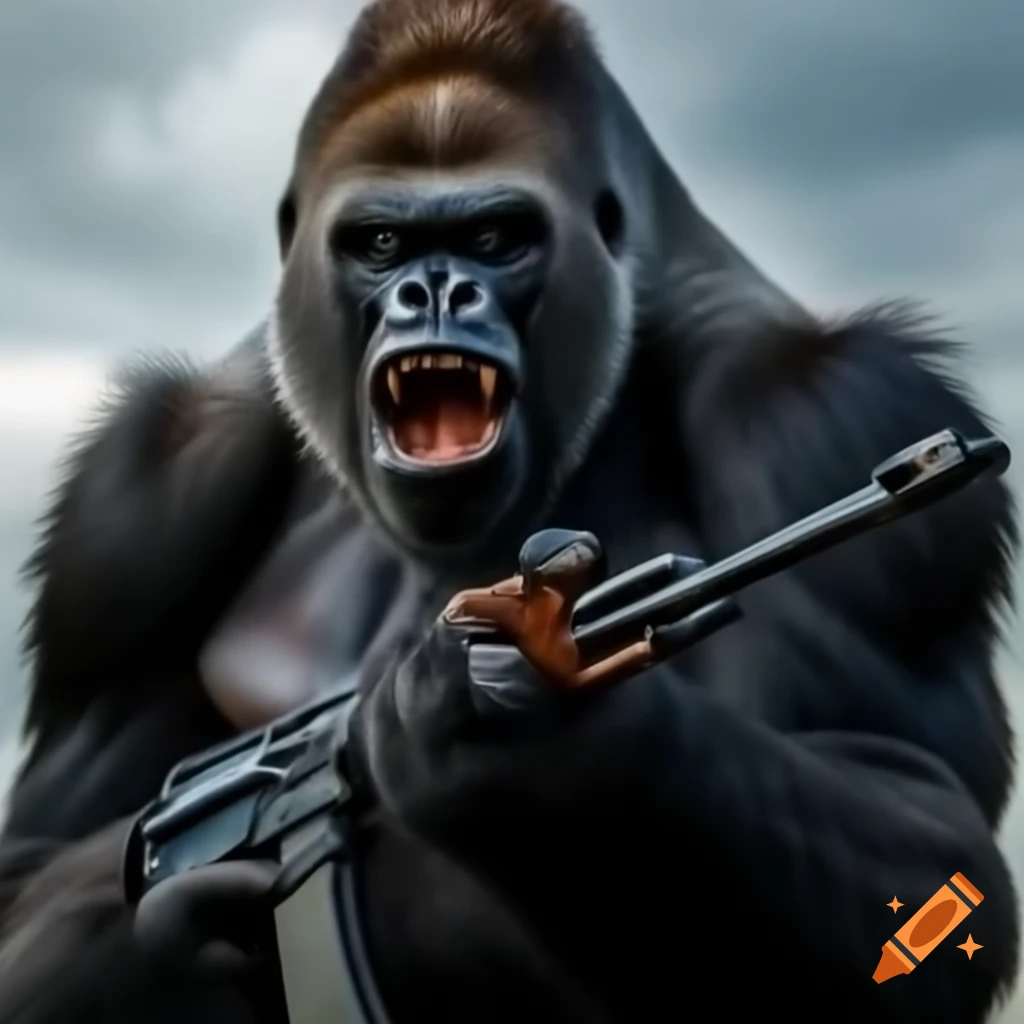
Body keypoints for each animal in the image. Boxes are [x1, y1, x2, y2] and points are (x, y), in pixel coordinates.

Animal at [0, 0, 1019, 1021]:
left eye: (496, 238)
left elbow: (913, 795)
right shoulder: (128, 510)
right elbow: (33, 860)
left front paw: (541, 737)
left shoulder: (831, 408)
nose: (436, 290)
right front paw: (161, 932)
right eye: (382, 245)